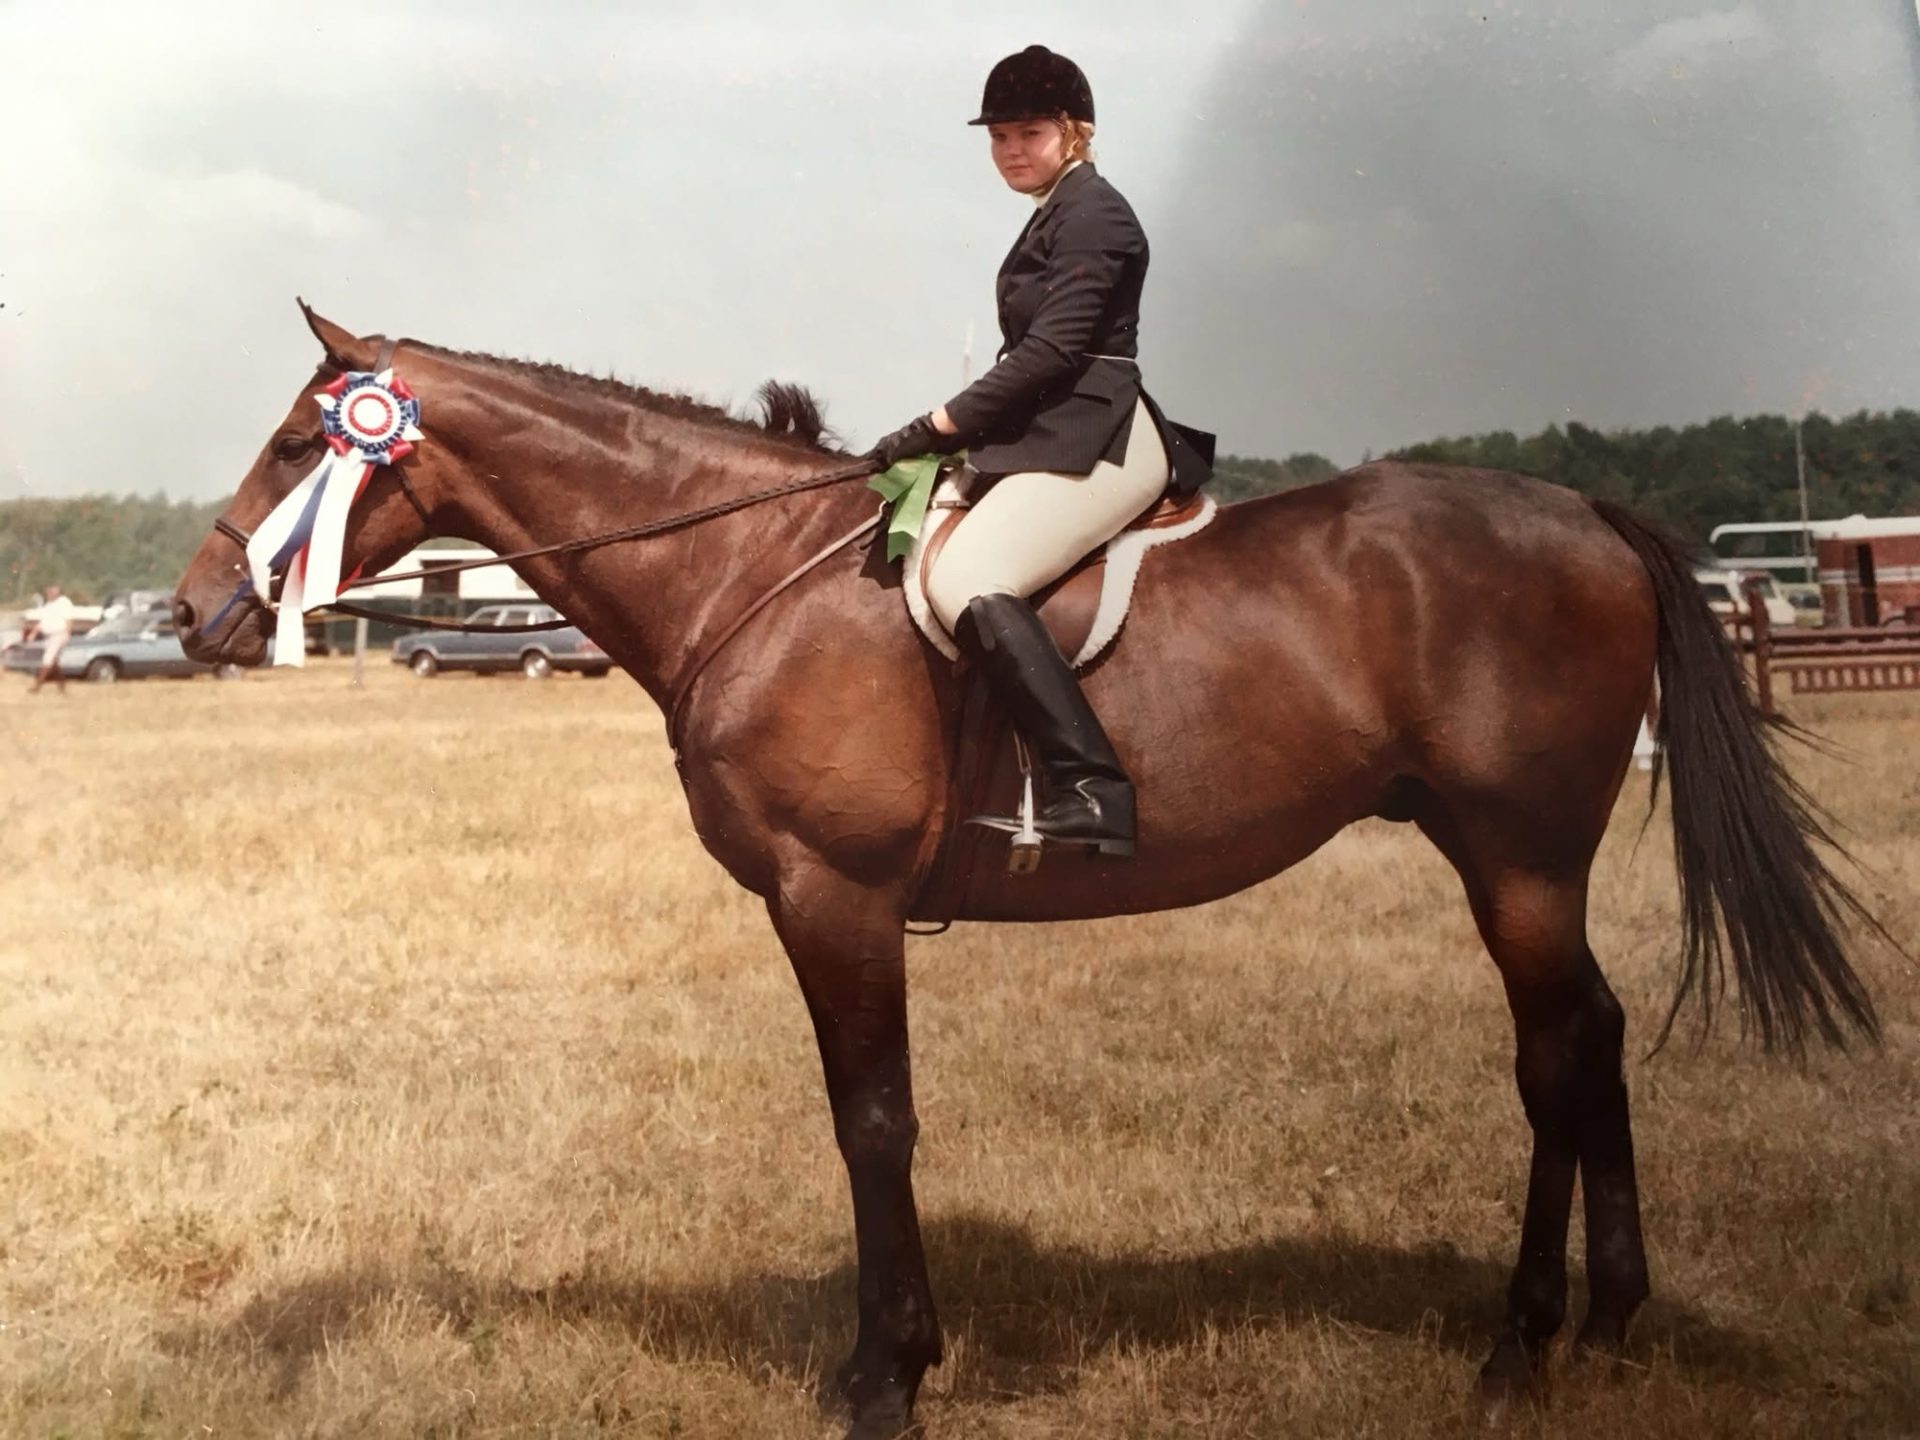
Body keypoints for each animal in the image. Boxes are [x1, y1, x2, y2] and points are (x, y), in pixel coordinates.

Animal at [173, 306, 1880, 1440]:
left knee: (1557, 1052)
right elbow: (867, 1124)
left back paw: (1526, 1349)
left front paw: (884, 1379)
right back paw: (1601, 1328)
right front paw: (890, 1362)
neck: (748, 572)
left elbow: (873, 1126)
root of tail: (1580, 510)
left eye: (301, 443)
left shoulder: (837, 896)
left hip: (1519, 852)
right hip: (1496, 851)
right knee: (1584, 1044)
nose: (196, 614)